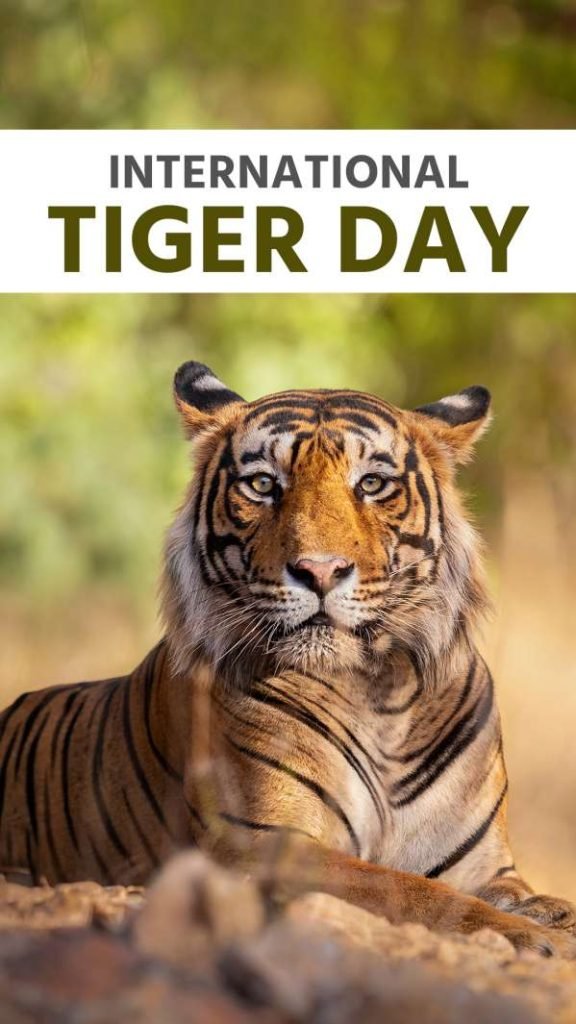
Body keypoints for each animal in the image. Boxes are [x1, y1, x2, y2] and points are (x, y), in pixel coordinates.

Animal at [1, 361, 575, 957]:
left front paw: (547, 914)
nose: (319, 571)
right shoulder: (261, 846)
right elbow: (409, 889)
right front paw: (527, 935)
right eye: (262, 485)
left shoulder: (484, 862)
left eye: (372, 484)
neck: (379, 696)